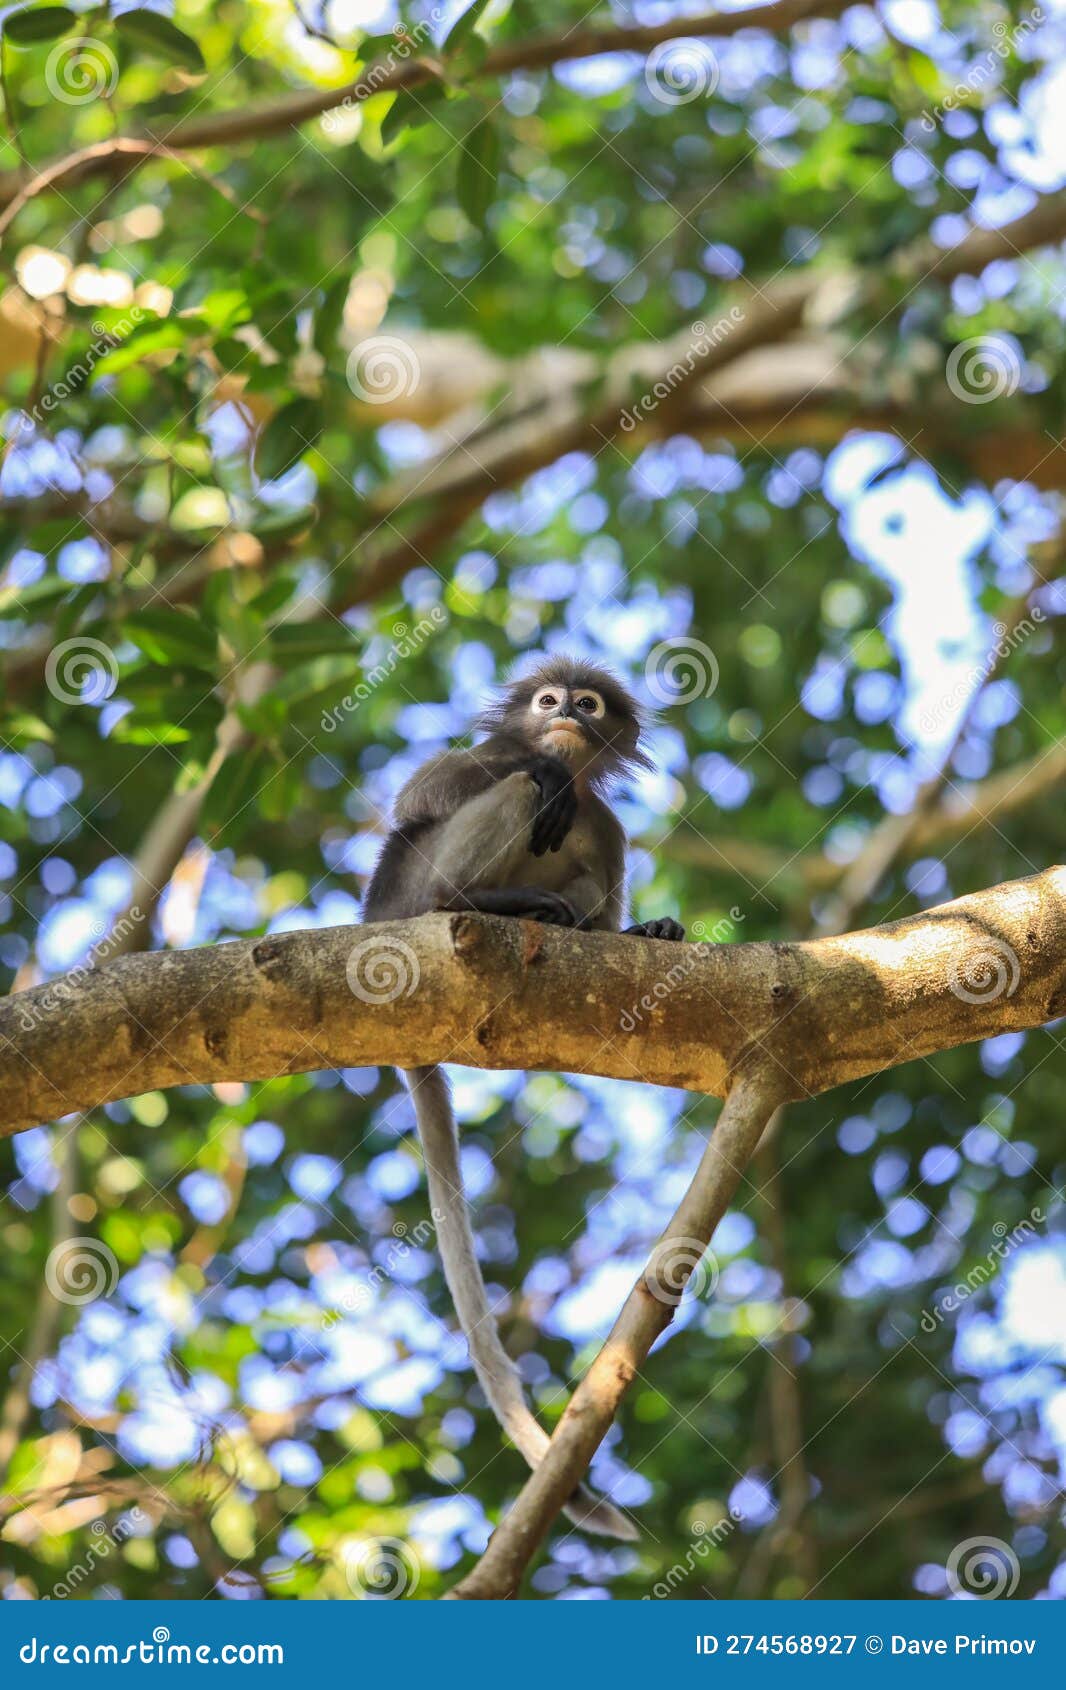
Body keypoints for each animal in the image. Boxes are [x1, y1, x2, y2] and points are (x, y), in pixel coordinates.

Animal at [362, 656, 684, 1539]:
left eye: (589, 704)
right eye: (548, 702)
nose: (566, 713)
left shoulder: (608, 826)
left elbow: (606, 890)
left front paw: (645, 933)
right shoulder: (487, 759)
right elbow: (421, 799)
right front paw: (547, 772)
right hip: (410, 897)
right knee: (508, 798)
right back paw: (477, 901)